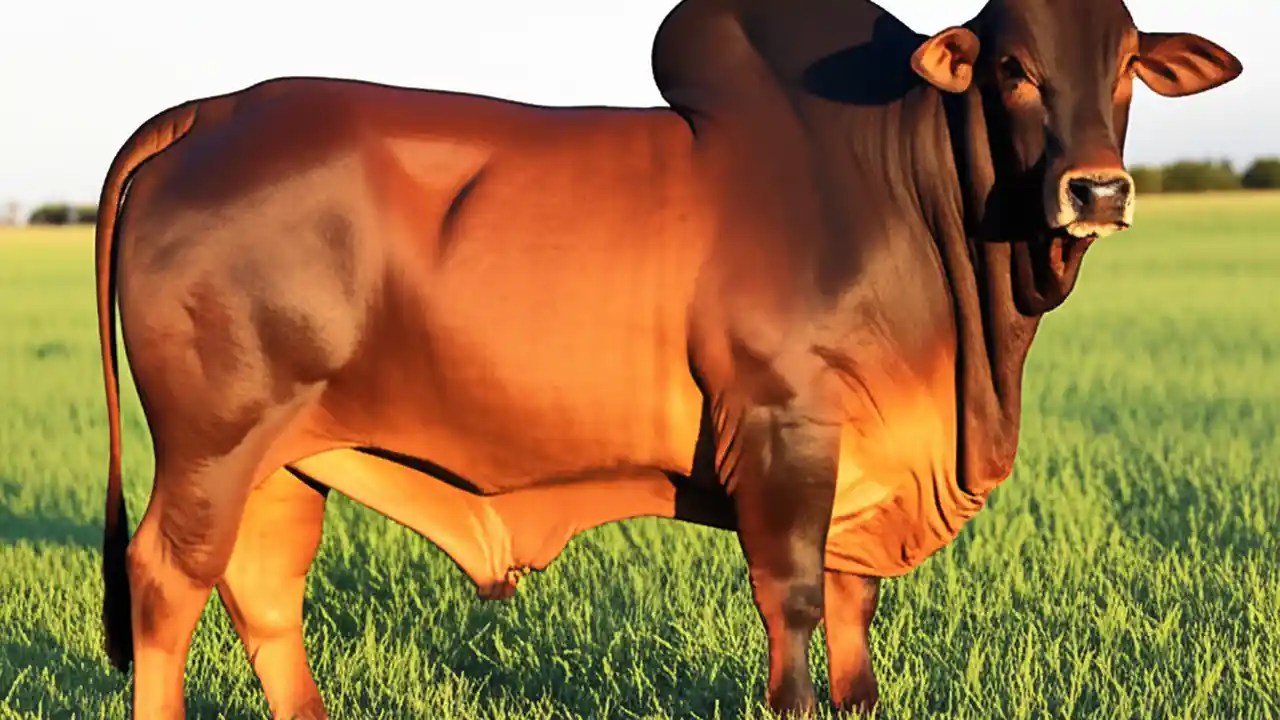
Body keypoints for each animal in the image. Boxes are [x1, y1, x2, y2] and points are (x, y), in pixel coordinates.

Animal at [93, 0, 1240, 716]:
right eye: (1011, 66)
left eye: (1129, 63)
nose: (1098, 189)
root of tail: (210, 112)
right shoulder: (785, 429)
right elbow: (792, 607)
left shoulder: (864, 464)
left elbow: (853, 620)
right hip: (213, 442)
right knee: (166, 582)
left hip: (286, 457)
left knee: (262, 587)